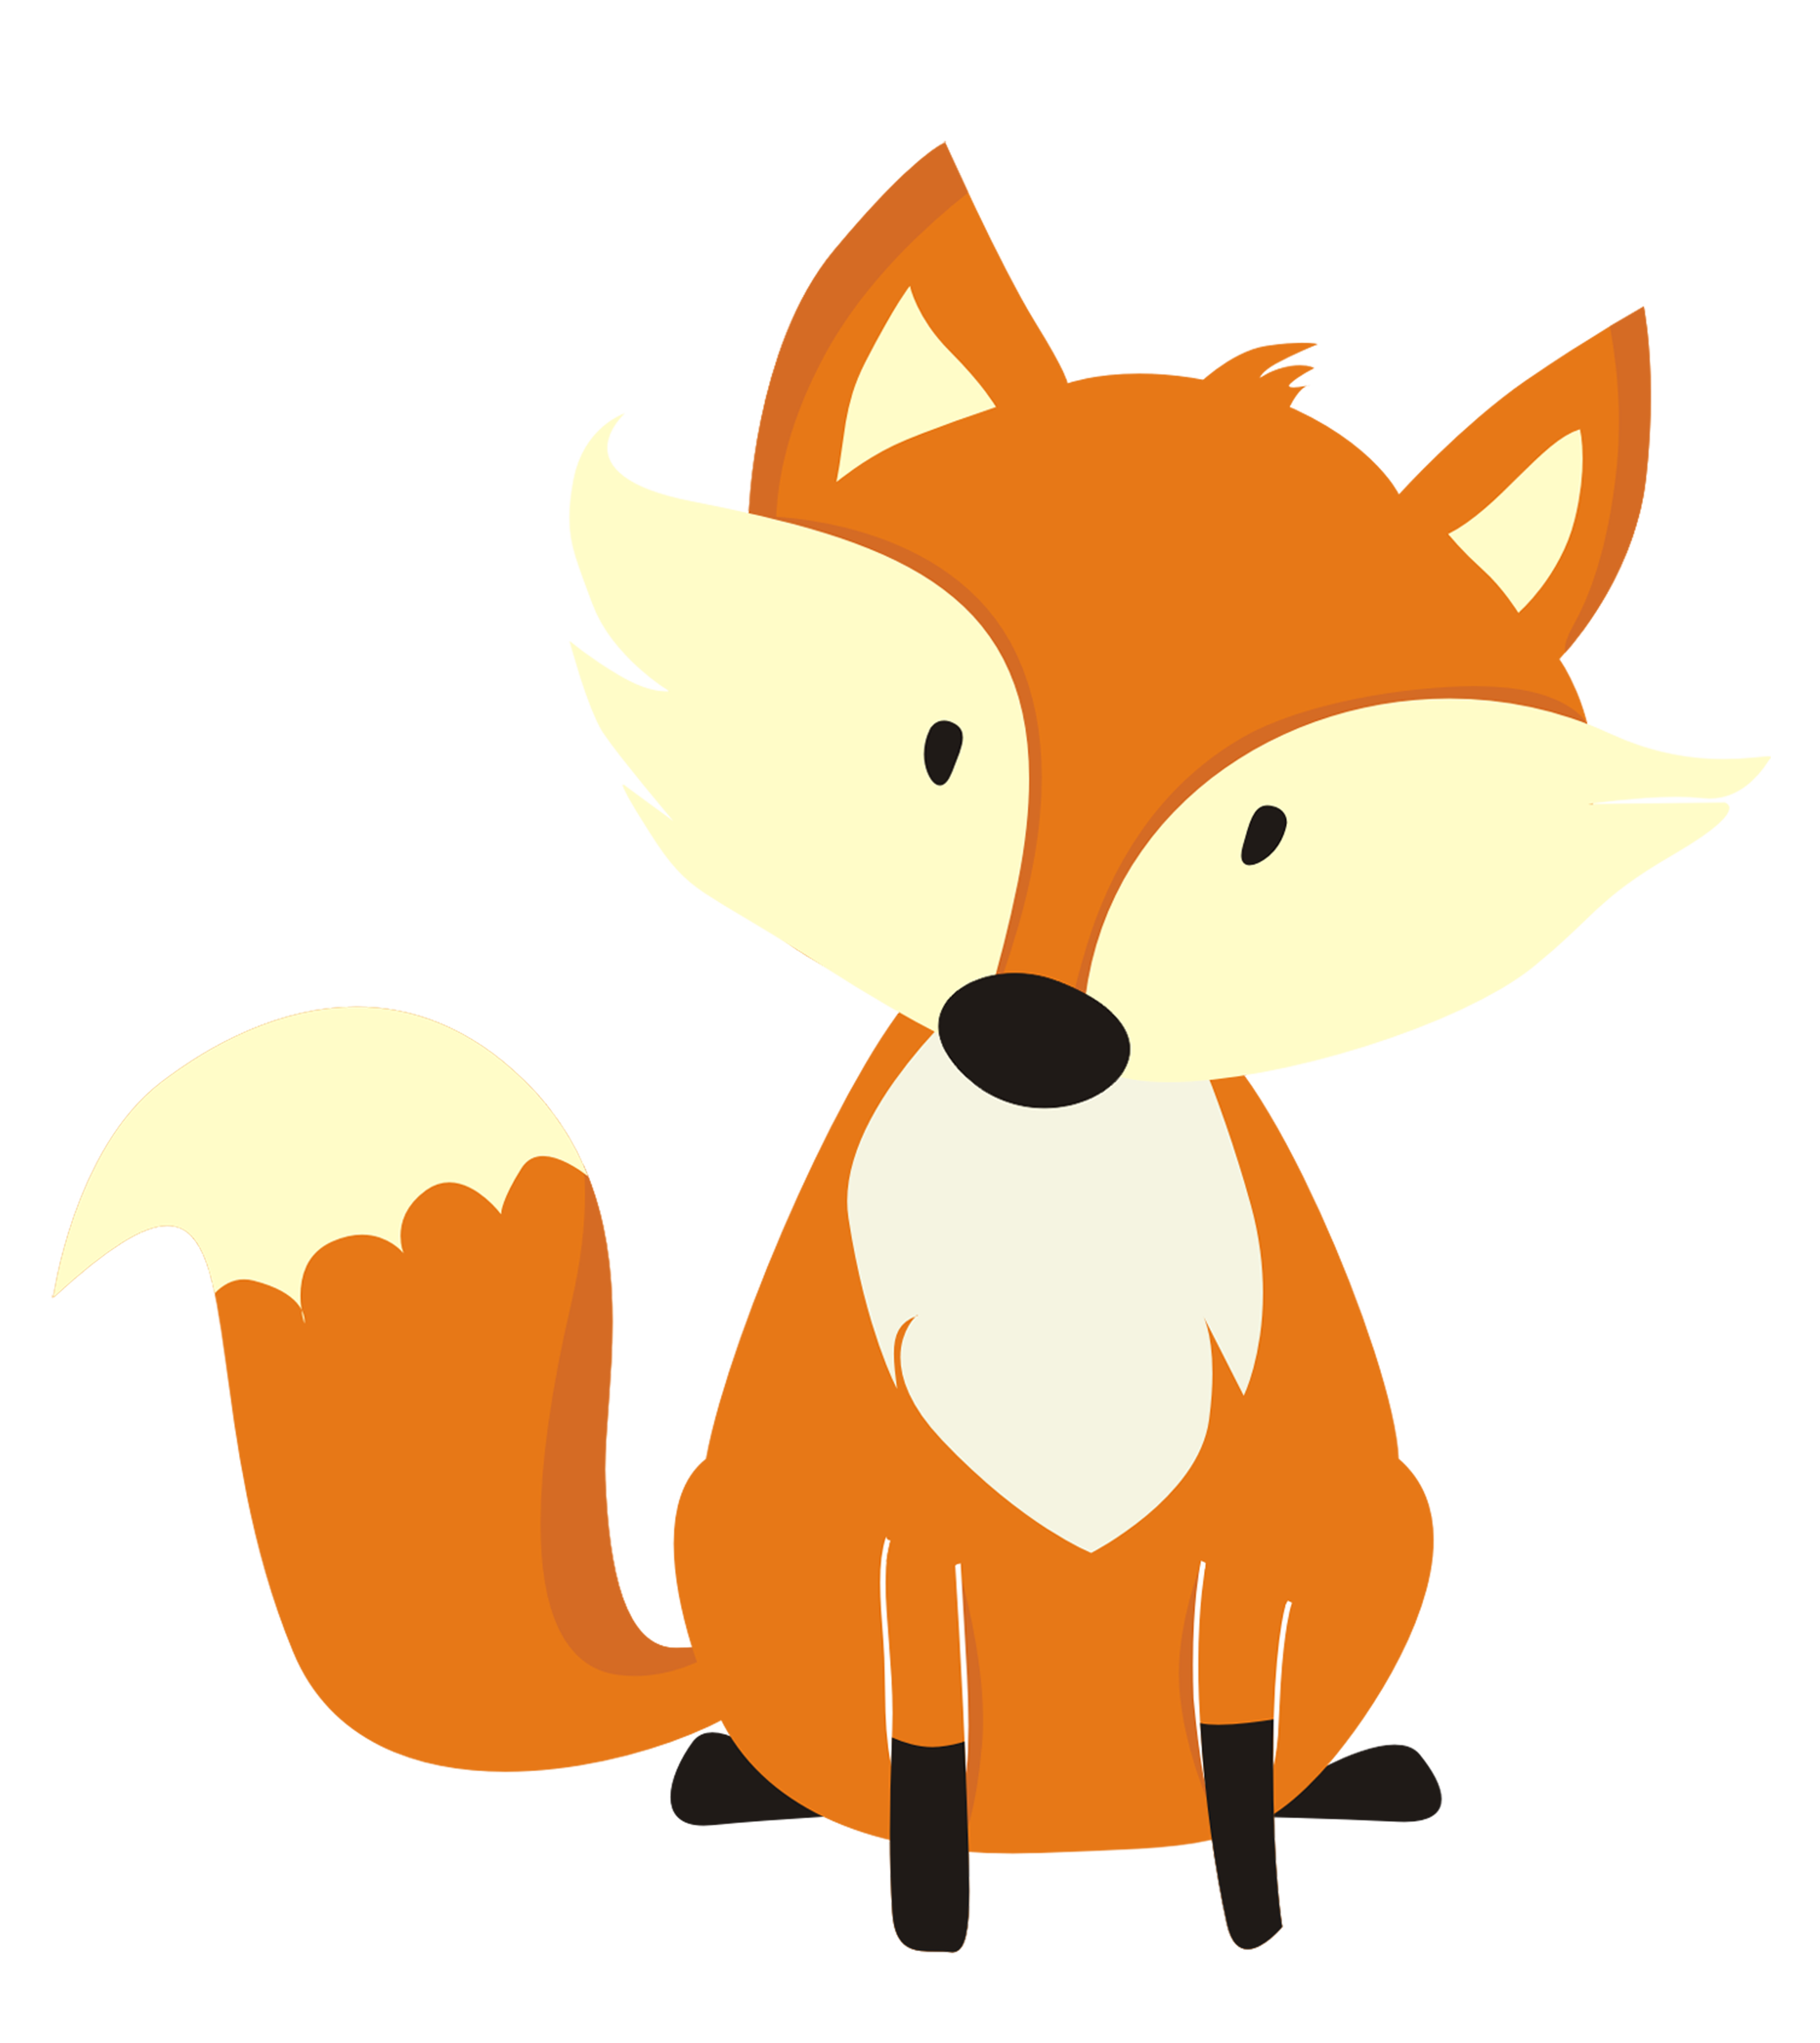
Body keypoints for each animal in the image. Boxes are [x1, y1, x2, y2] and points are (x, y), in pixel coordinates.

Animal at [51, 140, 1766, 1952]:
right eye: (941, 747)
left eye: (1267, 834)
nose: (1032, 1031)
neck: (1055, 1227)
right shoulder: (895, 1531)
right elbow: (926, 1767)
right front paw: (931, 1916)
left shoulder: (1263, 1515)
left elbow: (1234, 1754)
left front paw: (1252, 1908)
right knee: (778, 1772)